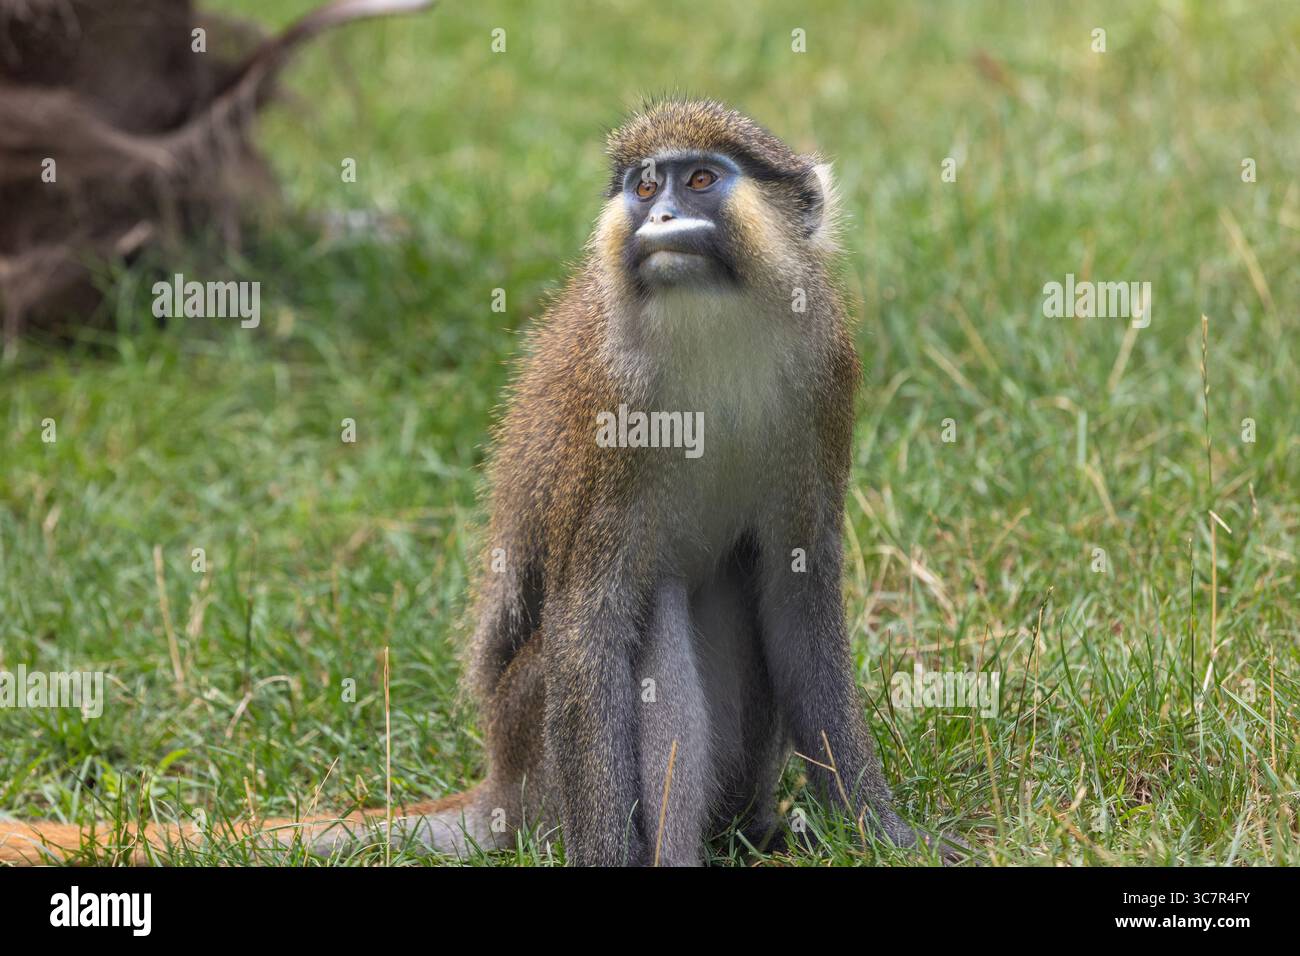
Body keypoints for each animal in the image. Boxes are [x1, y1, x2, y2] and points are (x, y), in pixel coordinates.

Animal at [0, 98, 925, 867]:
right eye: (643, 184)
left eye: (701, 178)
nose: (660, 217)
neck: (714, 329)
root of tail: (501, 790)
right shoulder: (608, 413)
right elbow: (590, 617)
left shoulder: (824, 374)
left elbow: (794, 595)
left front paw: (885, 831)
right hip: (533, 739)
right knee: (653, 606)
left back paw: (758, 831)